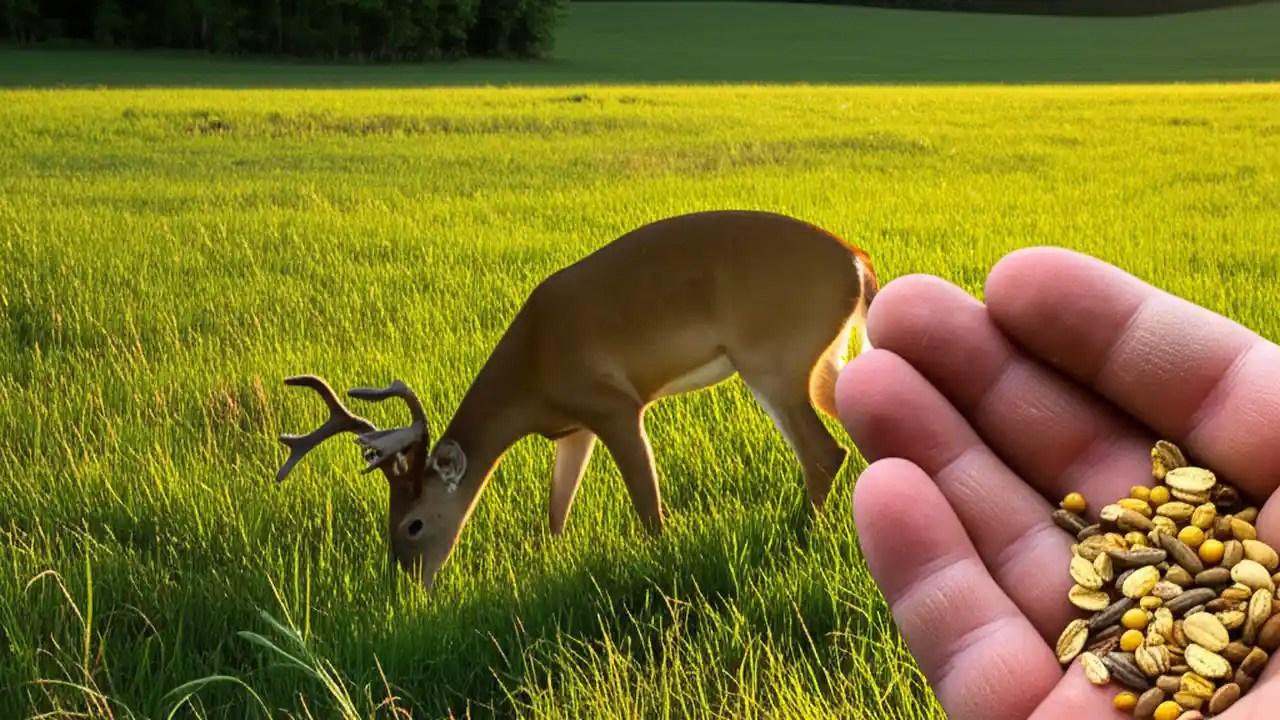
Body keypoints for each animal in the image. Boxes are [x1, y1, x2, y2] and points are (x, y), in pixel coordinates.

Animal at [273, 209, 880, 592]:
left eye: (413, 525)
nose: (407, 586)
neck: (534, 365)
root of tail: (859, 263)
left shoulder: (616, 405)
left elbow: (649, 509)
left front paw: (661, 566)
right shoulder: (573, 427)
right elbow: (556, 510)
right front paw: (550, 563)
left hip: (774, 360)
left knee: (823, 453)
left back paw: (800, 535)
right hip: (822, 363)